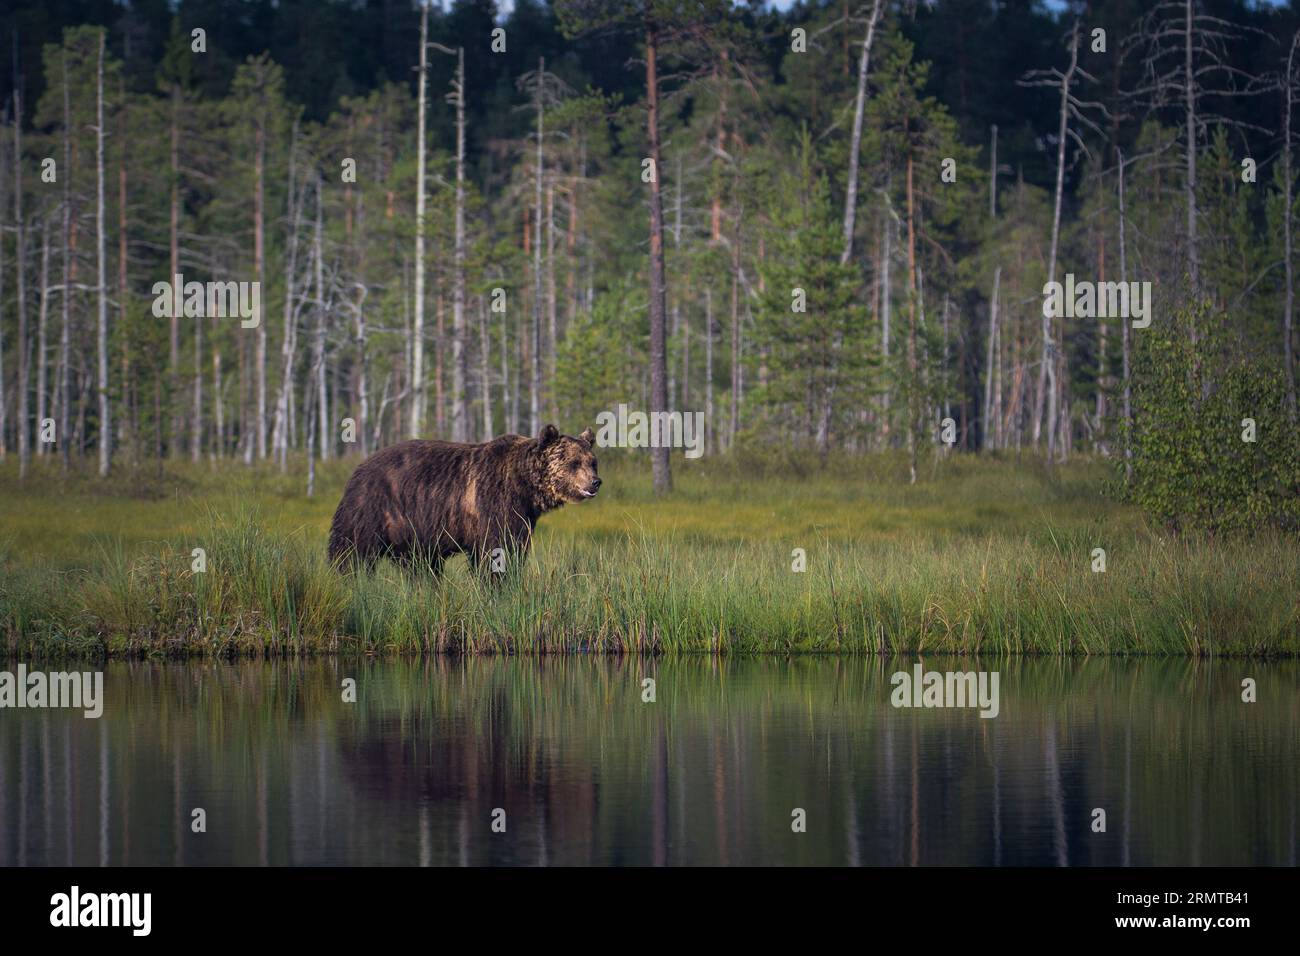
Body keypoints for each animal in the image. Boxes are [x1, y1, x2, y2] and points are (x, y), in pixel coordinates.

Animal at [327, 424, 600, 576]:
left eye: (592, 461)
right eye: (574, 462)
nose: (595, 482)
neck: (524, 486)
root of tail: (359, 467)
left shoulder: (522, 516)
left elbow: (515, 548)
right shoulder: (494, 502)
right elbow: (495, 551)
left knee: (419, 566)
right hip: (373, 507)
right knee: (351, 550)